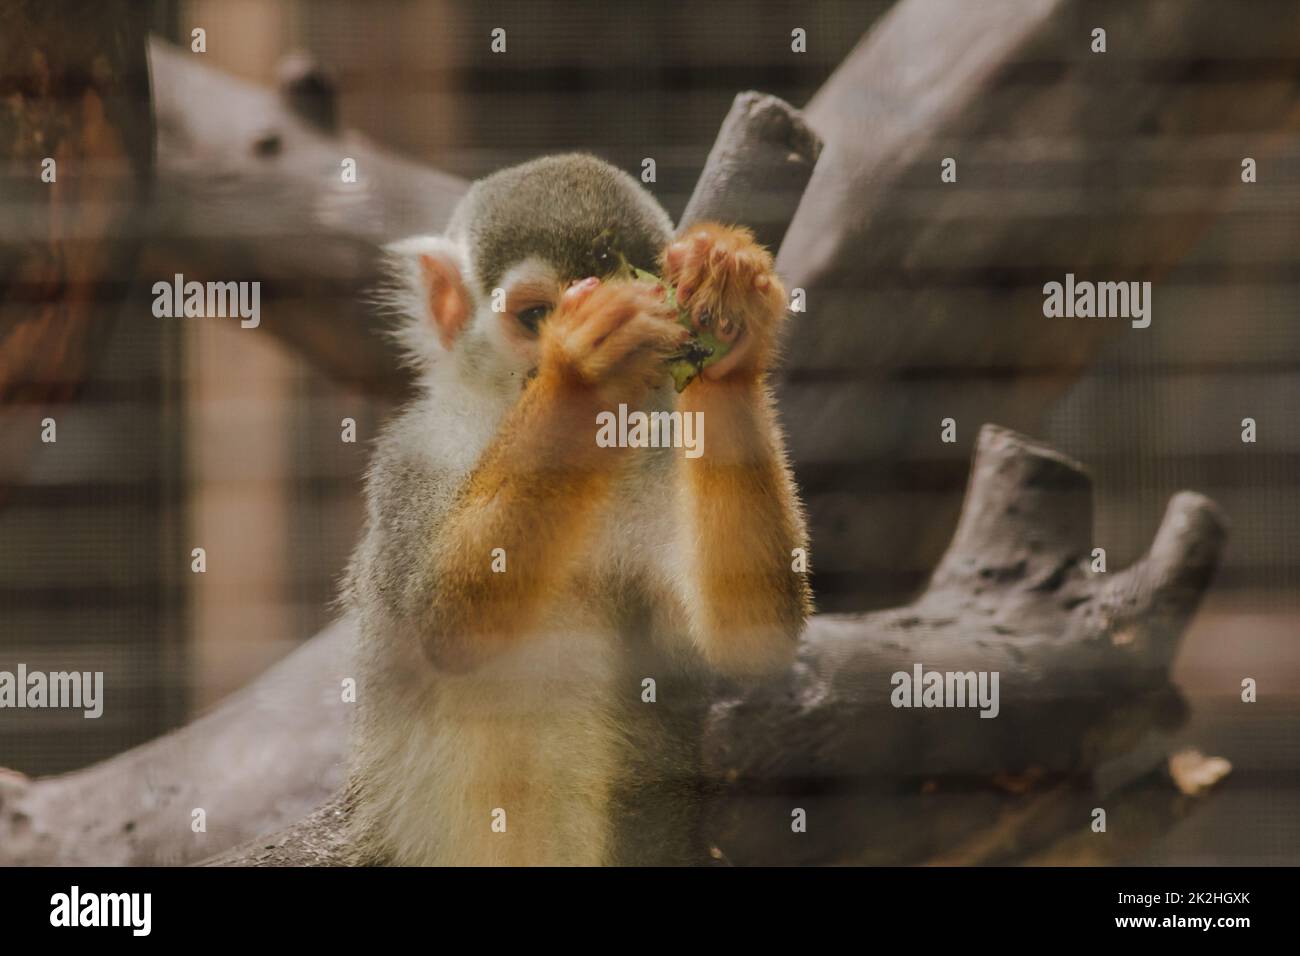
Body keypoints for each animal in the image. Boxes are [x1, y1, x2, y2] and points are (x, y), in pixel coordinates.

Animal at [343, 153, 811, 866]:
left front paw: (727, 314)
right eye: (535, 317)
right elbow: (443, 619)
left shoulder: (652, 456)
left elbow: (750, 630)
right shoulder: (412, 455)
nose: (544, 363)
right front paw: (582, 371)